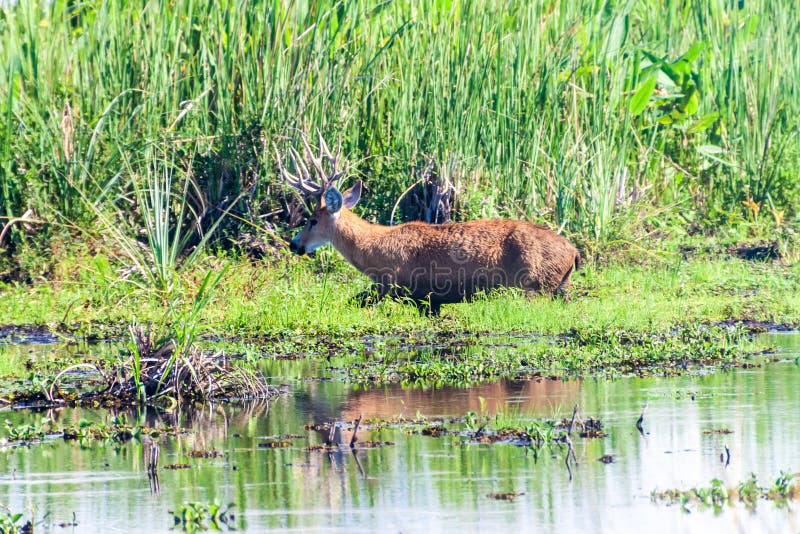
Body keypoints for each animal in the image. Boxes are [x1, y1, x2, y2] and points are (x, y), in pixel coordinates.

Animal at [276, 133, 580, 315]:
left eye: (312, 220)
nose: (294, 244)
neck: (371, 248)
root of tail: (573, 251)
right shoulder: (426, 299)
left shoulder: (395, 284)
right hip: (558, 288)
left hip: (533, 285)